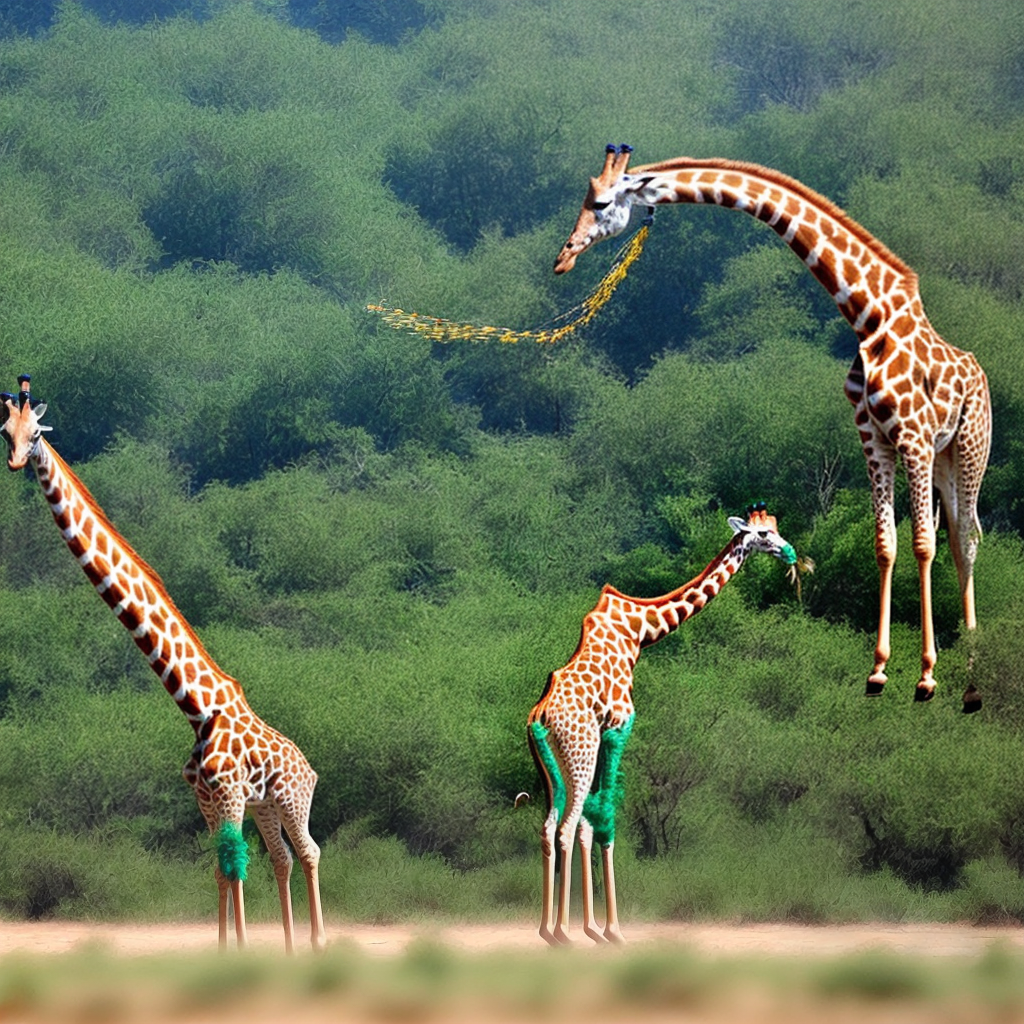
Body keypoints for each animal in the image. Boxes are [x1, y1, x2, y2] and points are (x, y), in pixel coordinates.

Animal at [1, 375, 326, 953]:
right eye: (4, 432)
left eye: (35, 432)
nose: (17, 462)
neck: (196, 705)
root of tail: (309, 767)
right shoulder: (206, 798)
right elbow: (221, 871)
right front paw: (226, 954)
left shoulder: (228, 794)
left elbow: (234, 870)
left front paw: (243, 955)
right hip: (267, 806)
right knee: (283, 859)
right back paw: (290, 949)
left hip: (291, 798)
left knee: (310, 853)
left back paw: (317, 945)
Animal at [527, 503, 796, 946]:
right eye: (762, 534)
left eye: (775, 530)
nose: (789, 552)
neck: (639, 630)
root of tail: (540, 717)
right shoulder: (618, 725)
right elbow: (603, 821)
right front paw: (611, 931)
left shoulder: (607, 734)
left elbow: (590, 824)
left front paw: (595, 928)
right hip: (580, 752)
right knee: (565, 826)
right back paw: (563, 934)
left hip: (553, 765)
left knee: (551, 827)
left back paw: (548, 931)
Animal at [554, 145, 991, 711]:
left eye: (603, 203)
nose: (562, 258)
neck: (871, 318)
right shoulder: (873, 438)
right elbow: (886, 544)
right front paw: (878, 673)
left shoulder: (912, 436)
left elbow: (922, 545)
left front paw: (926, 677)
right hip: (944, 461)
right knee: (961, 535)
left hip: (968, 447)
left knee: (968, 539)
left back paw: (971, 682)